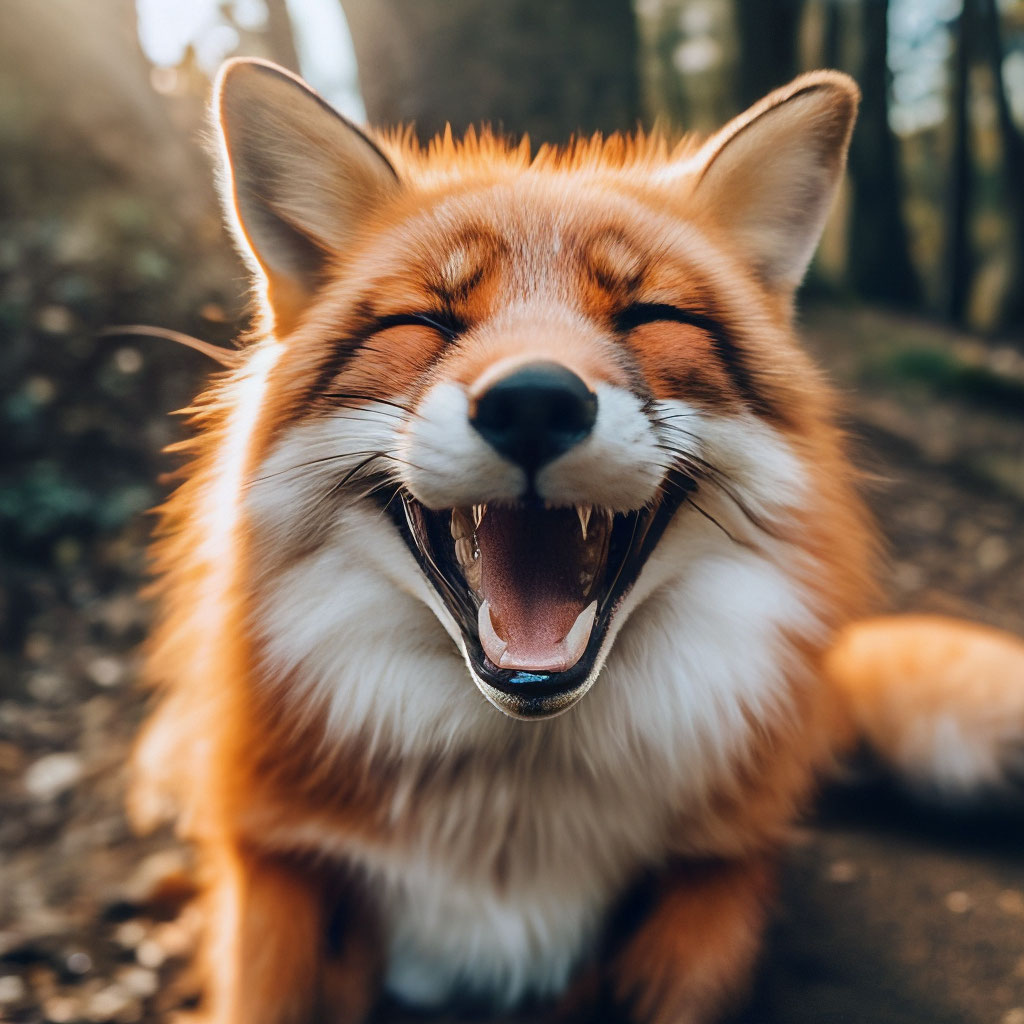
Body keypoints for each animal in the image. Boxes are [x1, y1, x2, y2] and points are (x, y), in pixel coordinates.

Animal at [131, 58, 1024, 1024]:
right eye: (425, 323)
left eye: (651, 315)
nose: (534, 402)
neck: (507, 838)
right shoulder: (278, 869)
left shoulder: (713, 886)